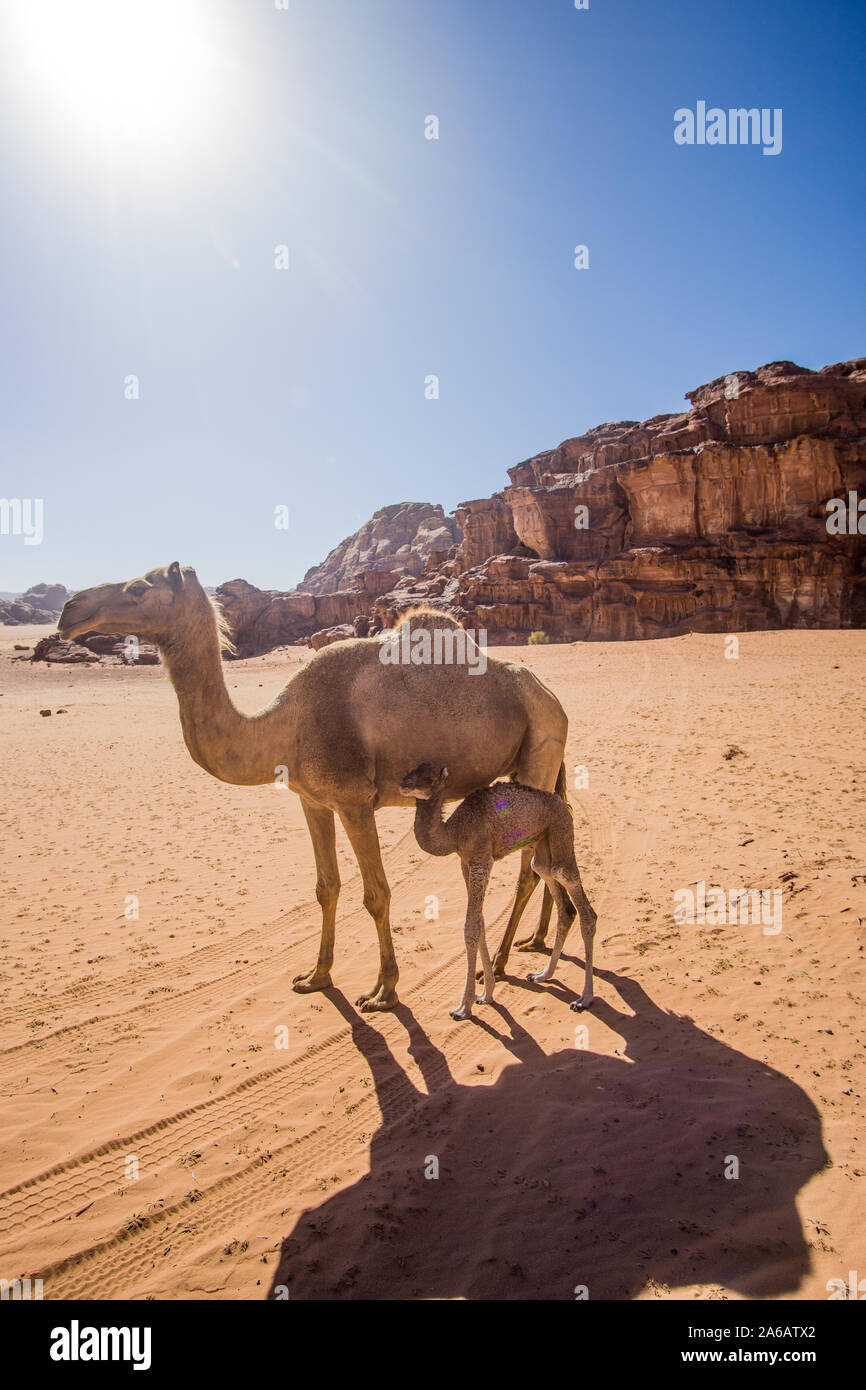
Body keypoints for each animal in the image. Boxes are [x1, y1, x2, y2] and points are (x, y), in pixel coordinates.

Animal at [58, 563, 570, 1010]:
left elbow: (376, 893)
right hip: (538, 766)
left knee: (528, 869)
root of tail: (553, 698)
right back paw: (535, 941)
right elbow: (327, 887)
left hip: (539, 753)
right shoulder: (313, 801)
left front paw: (384, 992)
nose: (69, 609)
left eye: (139, 588)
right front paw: (316, 976)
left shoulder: (354, 800)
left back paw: (498, 964)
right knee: (545, 856)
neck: (286, 727)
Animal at [400, 763, 596, 1019]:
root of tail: (563, 805)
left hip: (561, 831)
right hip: (543, 842)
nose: (403, 785)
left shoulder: (482, 860)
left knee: (574, 892)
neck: (455, 831)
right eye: (412, 770)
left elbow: (471, 928)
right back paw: (542, 974)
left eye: (430, 778)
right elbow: (480, 922)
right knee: (551, 884)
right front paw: (486, 995)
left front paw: (464, 1007)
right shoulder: (466, 863)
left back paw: (584, 998)